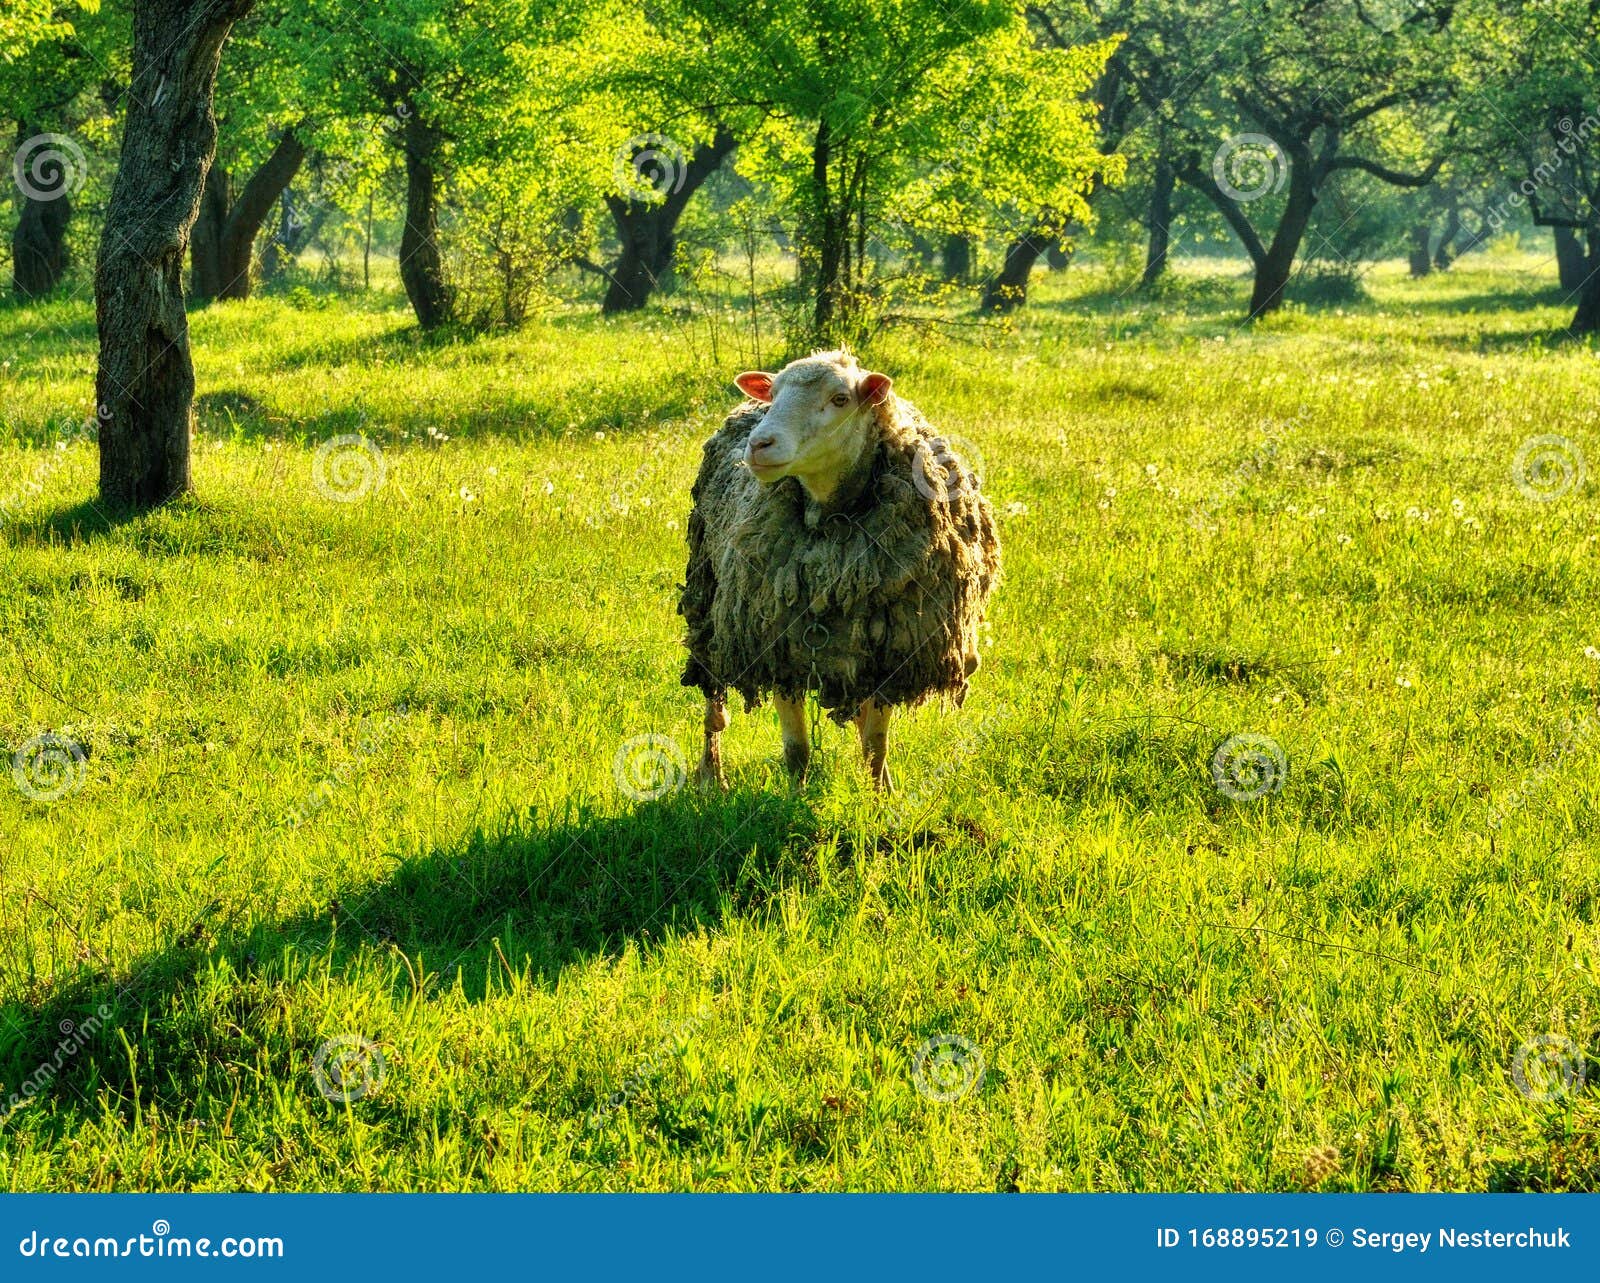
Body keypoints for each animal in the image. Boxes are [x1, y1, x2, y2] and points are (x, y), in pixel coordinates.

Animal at [678, 349, 1000, 790]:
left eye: (840, 399)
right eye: (774, 392)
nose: (759, 444)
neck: (830, 522)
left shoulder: (886, 656)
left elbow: (875, 746)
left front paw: (878, 796)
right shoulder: (780, 647)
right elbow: (797, 749)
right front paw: (795, 796)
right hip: (707, 592)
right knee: (713, 701)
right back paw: (712, 774)